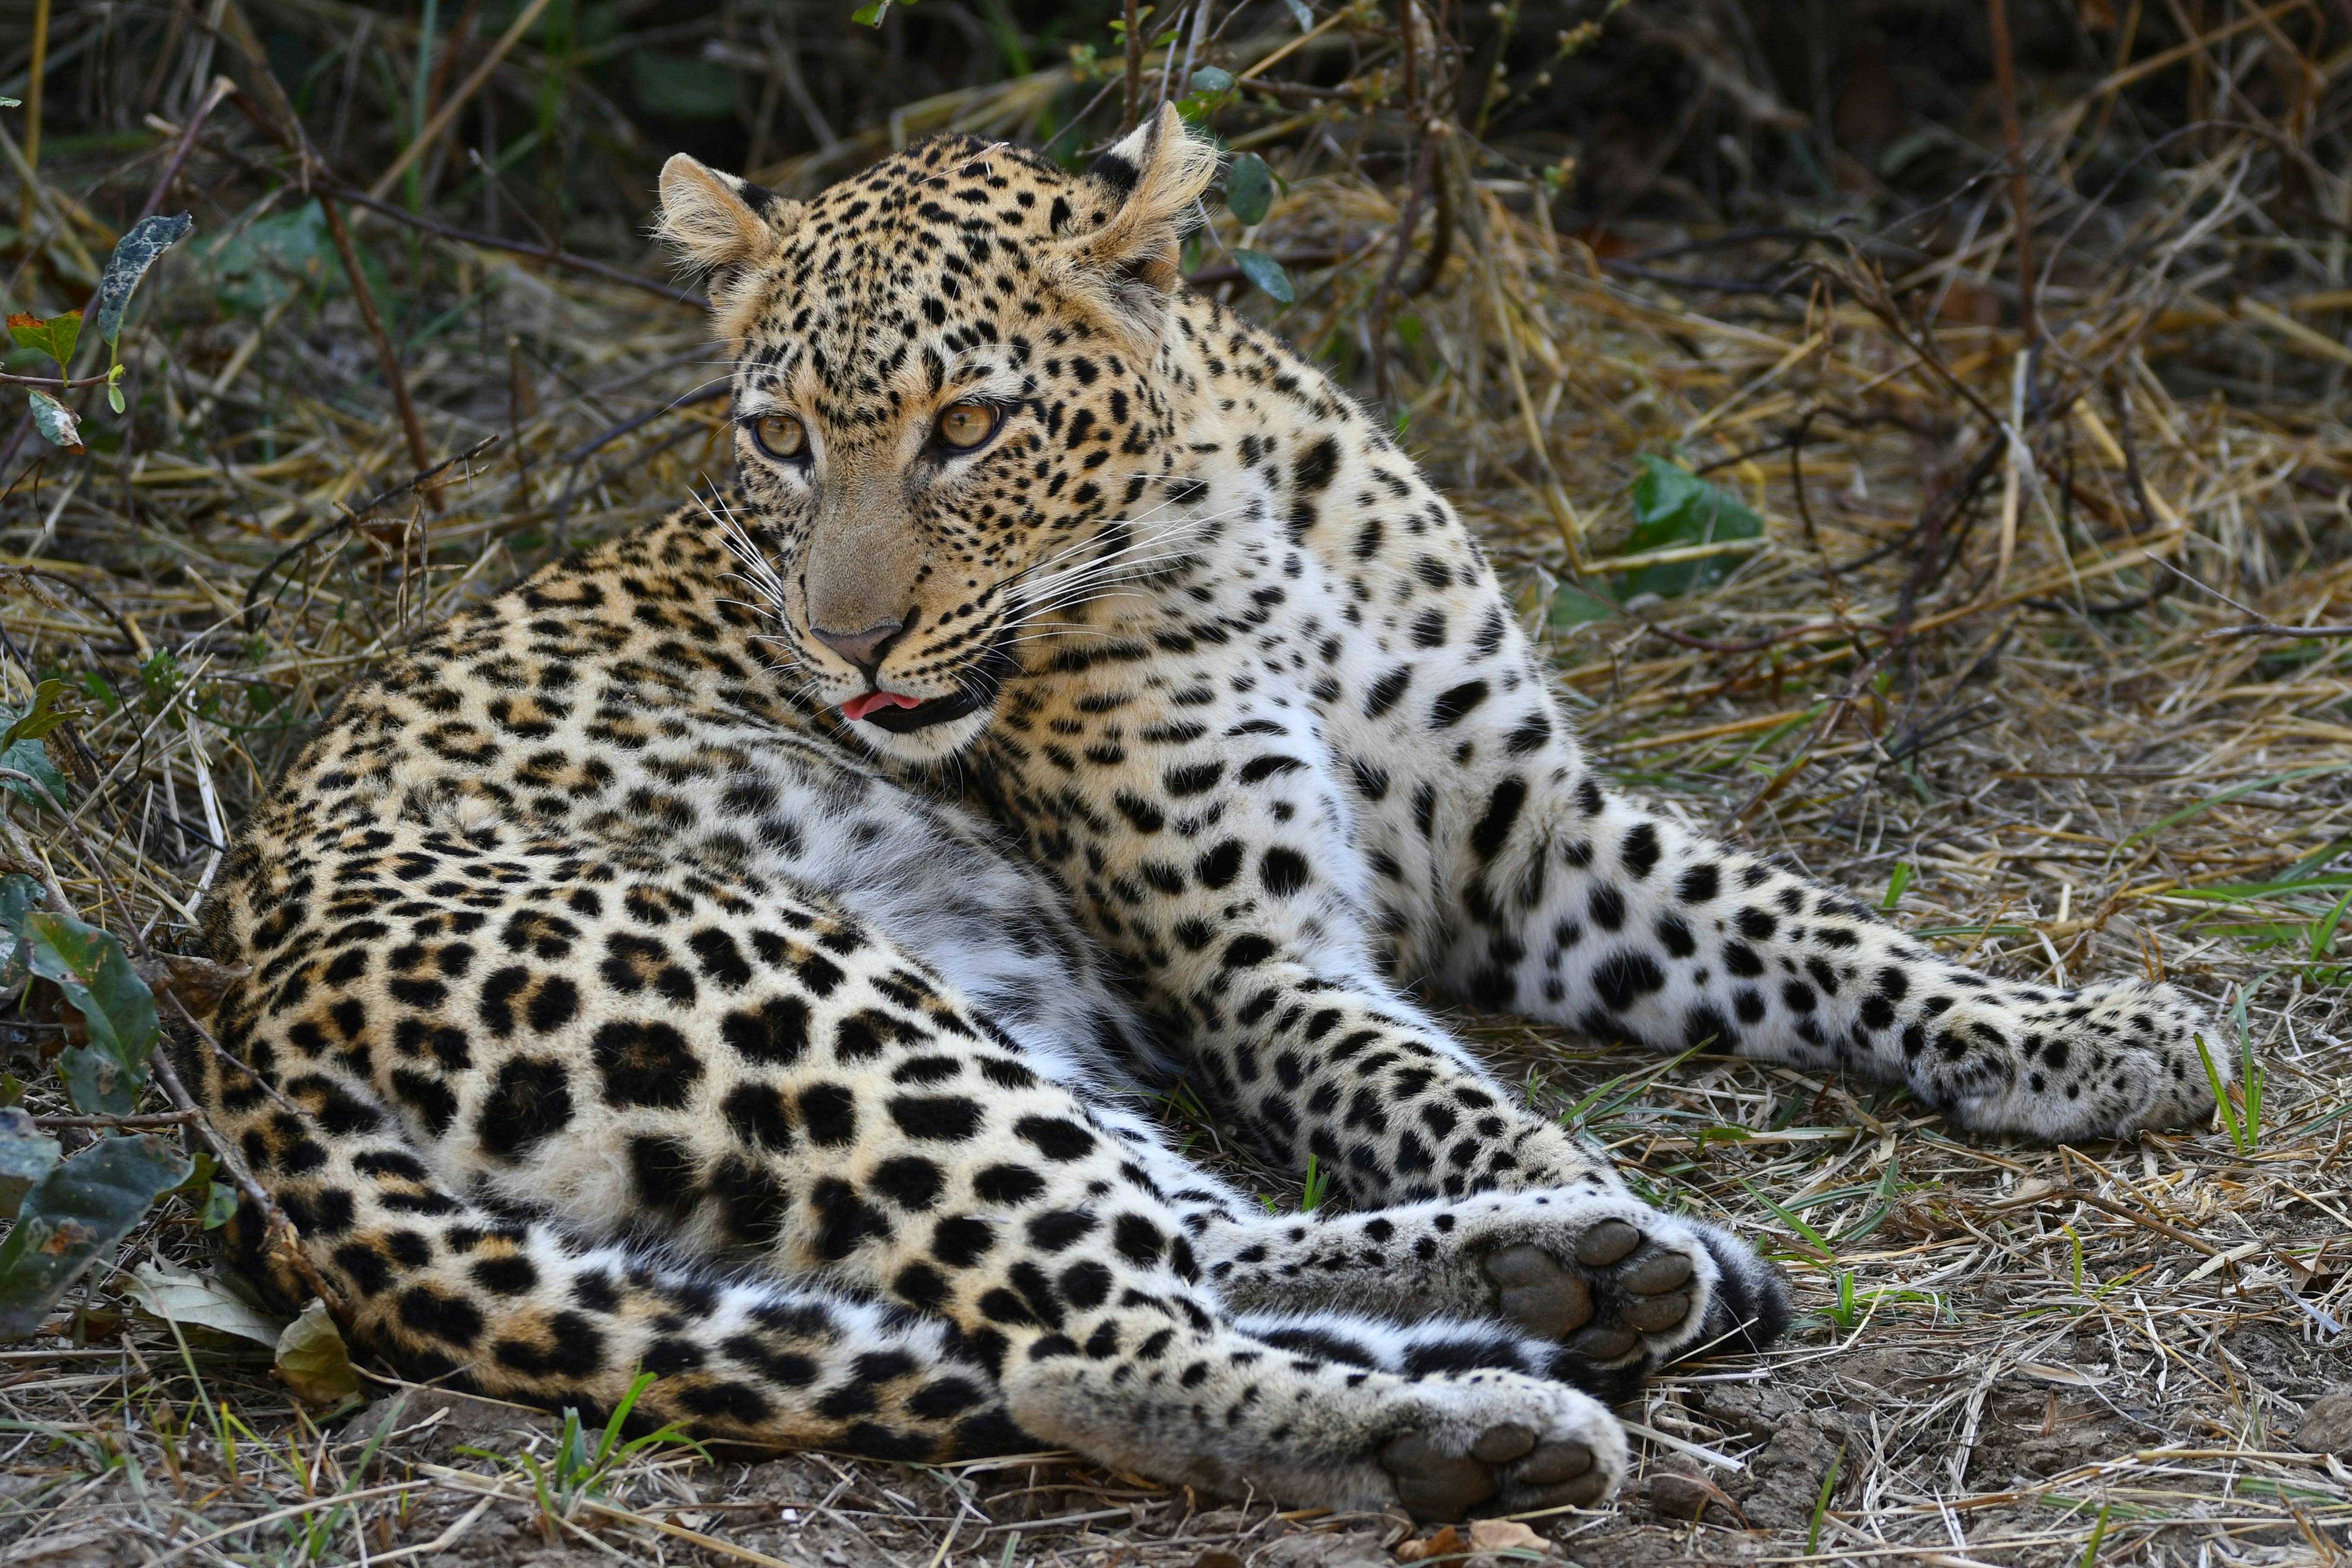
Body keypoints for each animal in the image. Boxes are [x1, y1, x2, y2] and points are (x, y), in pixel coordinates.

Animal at [192, 106, 2223, 1523]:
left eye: (967, 428)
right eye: (778, 440)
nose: (842, 651)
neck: (1242, 525)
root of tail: (238, 1029)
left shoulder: (1533, 845)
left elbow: (1816, 932)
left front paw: (2085, 1035)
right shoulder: (1255, 962)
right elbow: (1446, 1095)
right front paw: (1582, 1181)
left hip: (958, 1026)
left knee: (1172, 1242)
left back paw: (1578, 1276)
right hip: (782, 984)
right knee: (1081, 1344)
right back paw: (1493, 1409)